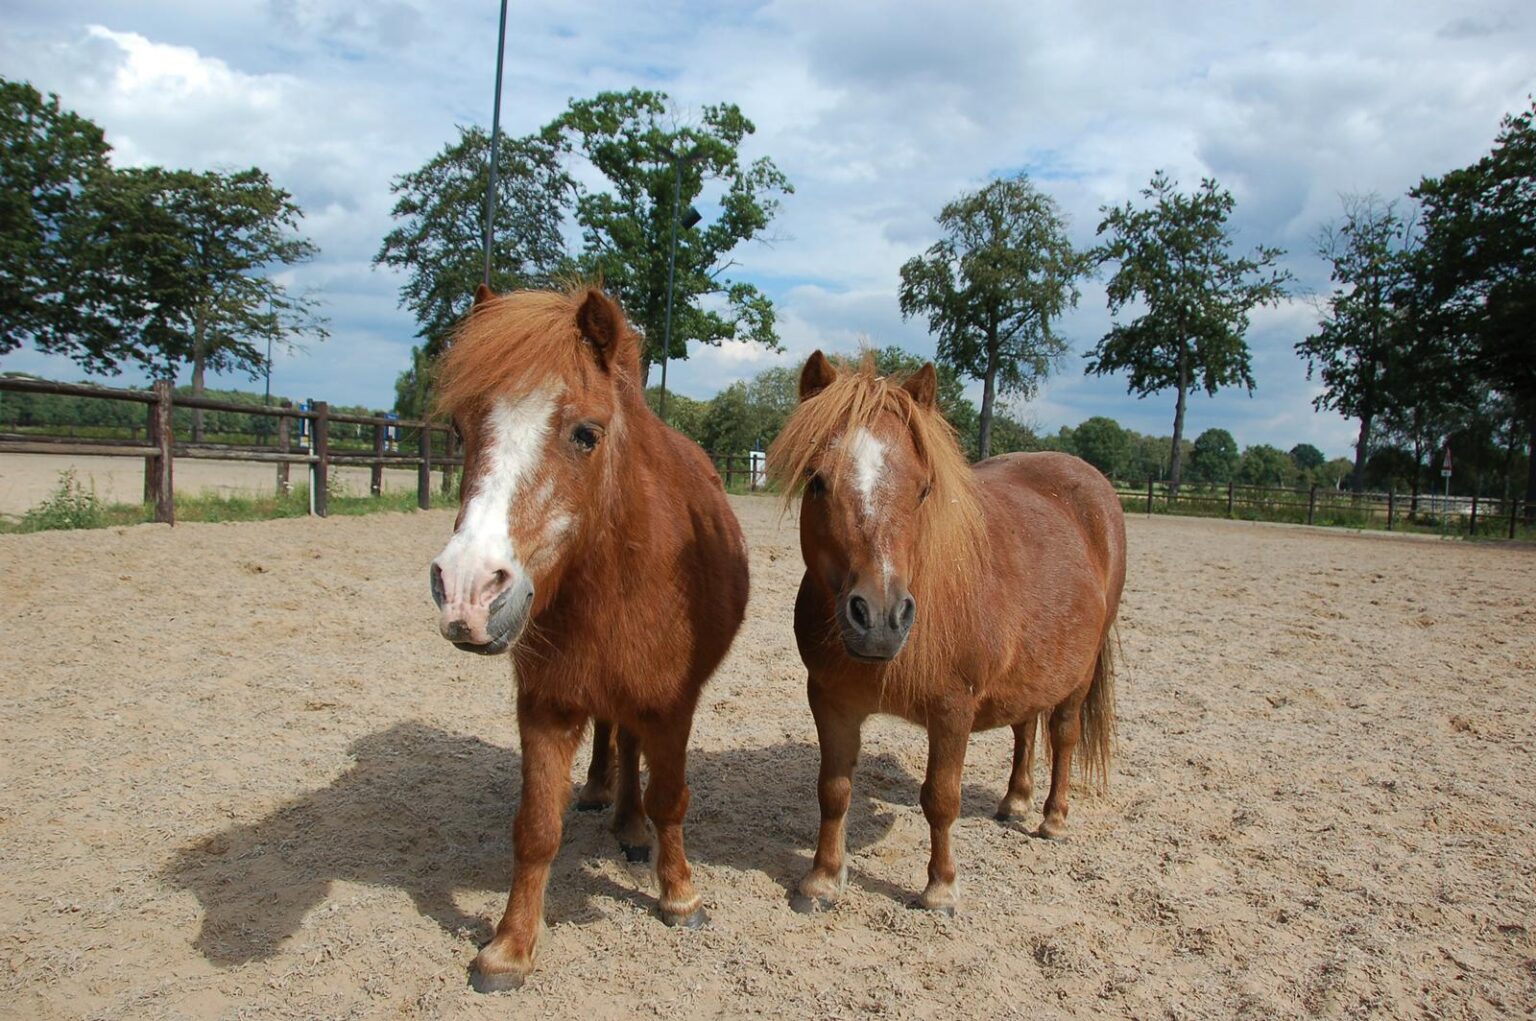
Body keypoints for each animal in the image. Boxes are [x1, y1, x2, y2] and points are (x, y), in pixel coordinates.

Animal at [428, 284, 749, 991]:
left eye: (586, 434)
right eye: (460, 429)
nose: (467, 591)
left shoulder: (671, 704)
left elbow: (669, 798)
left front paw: (678, 895)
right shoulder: (545, 704)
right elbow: (536, 826)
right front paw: (509, 947)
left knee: (630, 750)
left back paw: (630, 826)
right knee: (611, 737)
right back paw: (604, 795)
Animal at [766, 351, 1125, 915]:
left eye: (923, 488)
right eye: (817, 480)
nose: (881, 618)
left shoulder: (953, 709)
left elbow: (940, 798)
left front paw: (940, 887)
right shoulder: (830, 700)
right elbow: (834, 789)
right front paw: (821, 879)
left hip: (1079, 674)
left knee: (1063, 735)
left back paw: (1053, 818)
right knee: (1026, 727)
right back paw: (1015, 801)